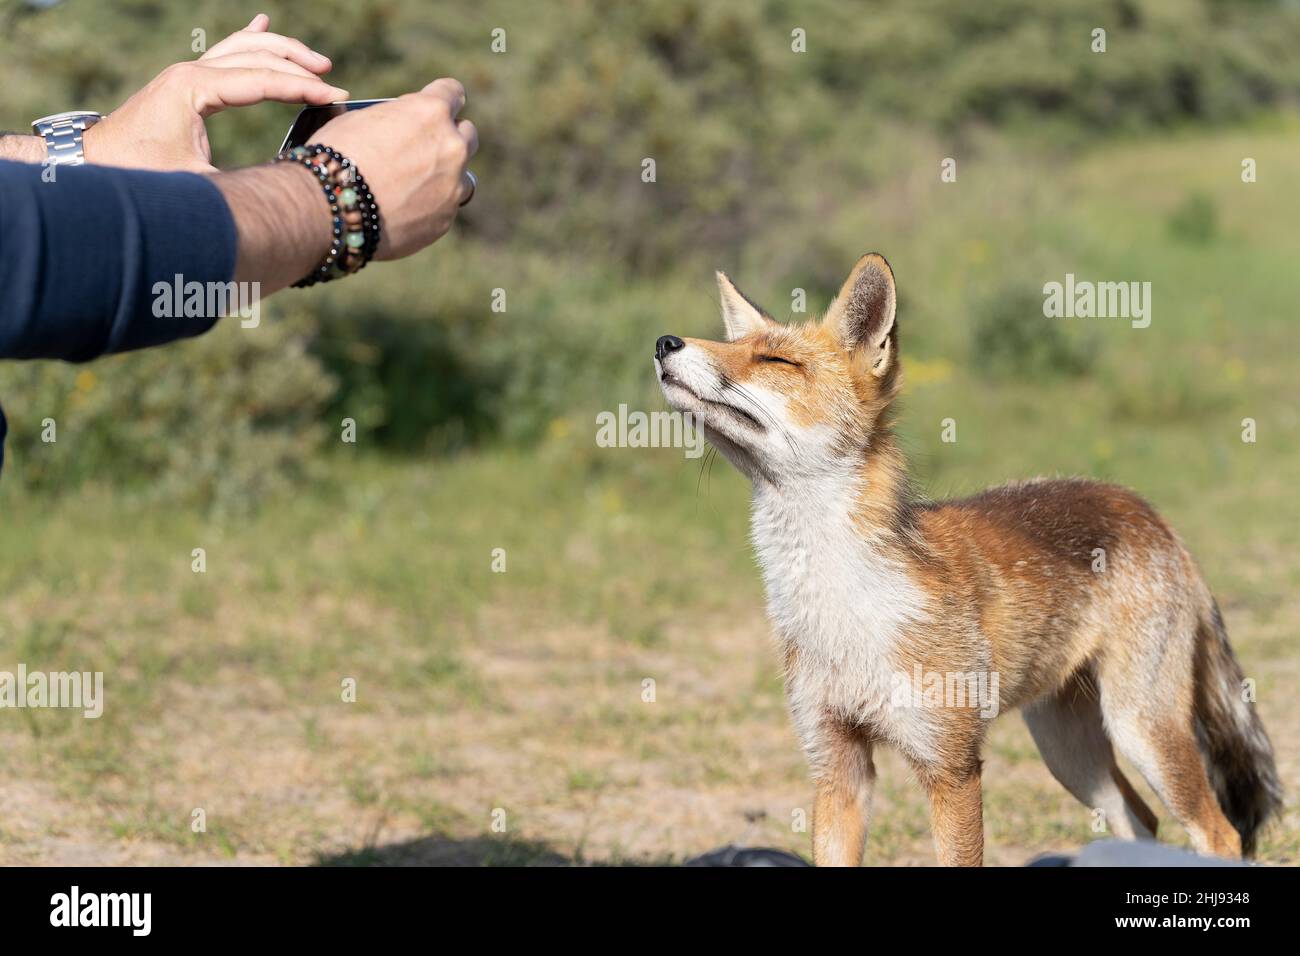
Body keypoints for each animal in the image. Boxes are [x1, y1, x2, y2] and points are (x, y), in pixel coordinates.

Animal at [654, 253, 1282, 866]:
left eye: (776, 360)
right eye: (735, 344)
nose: (664, 342)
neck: (844, 604)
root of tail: (1145, 508)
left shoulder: (950, 766)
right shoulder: (836, 763)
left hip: (1140, 729)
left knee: (1220, 832)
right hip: (1069, 751)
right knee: (1140, 822)